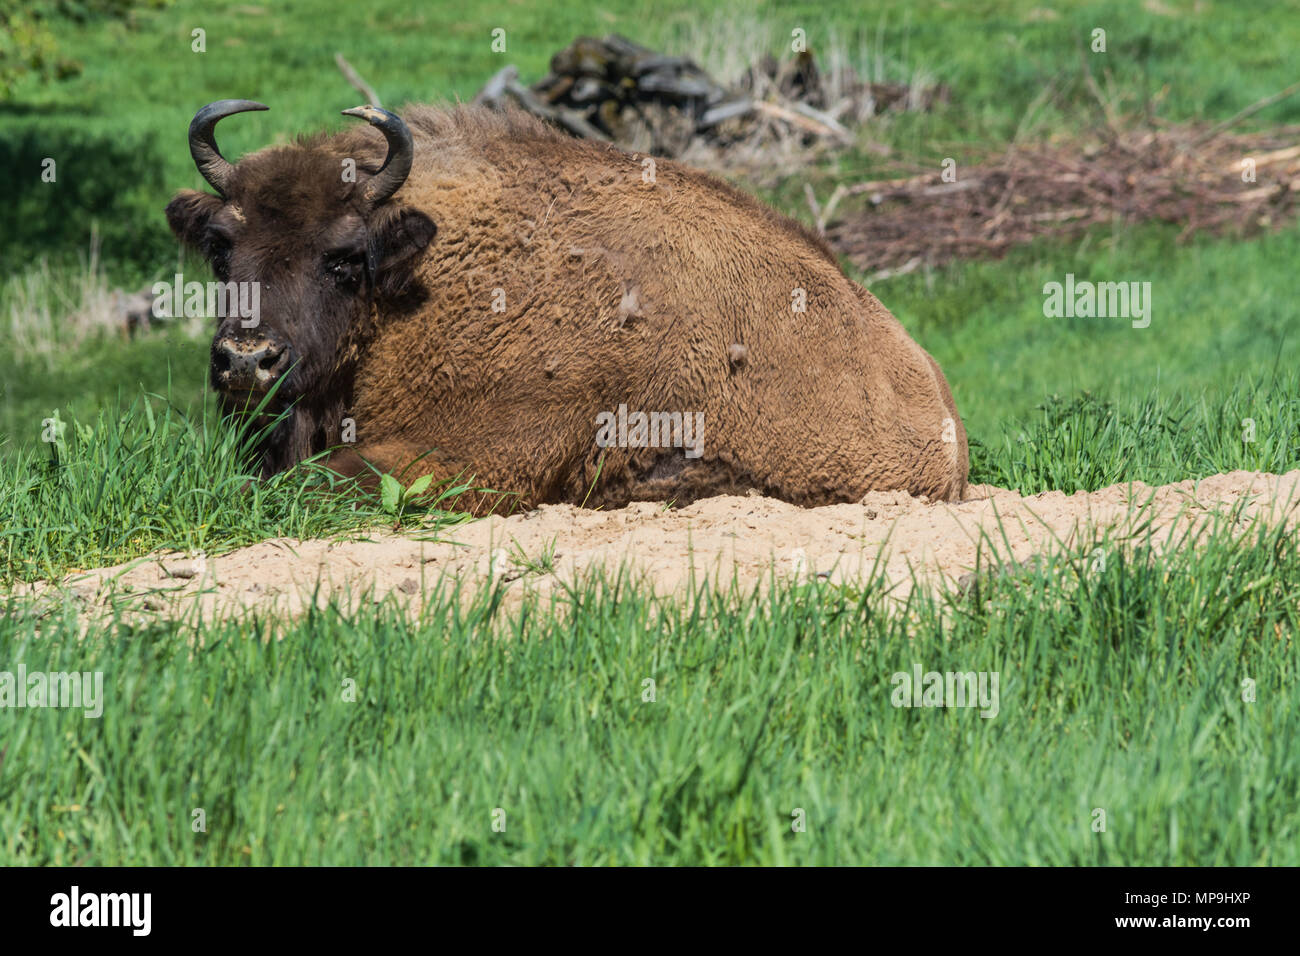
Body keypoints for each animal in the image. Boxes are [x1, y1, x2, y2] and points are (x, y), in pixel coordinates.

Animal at [165, 99, 968, 510]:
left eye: (343, 258)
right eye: (221, 250)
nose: (246, 360)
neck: (419, 279)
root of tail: (939, 395)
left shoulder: (486, 447)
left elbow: (328, 476)